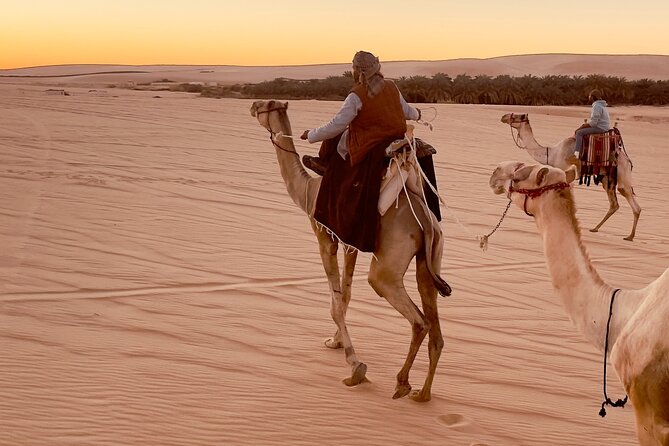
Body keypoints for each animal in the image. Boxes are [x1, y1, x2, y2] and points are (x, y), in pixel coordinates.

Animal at [250, 100, 451, 402]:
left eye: (265, 105)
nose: (252, 106)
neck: (308, 189)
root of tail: (425, 222)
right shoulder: (351, 244)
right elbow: (345, 295)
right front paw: (335, 342)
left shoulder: (325, 238)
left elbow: (335, 303)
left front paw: (356, 367)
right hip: (430, 259)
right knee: (434, 325)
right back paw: (422, 394)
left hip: (387, 269)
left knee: (418, 320)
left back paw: (402, 383)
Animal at [501, 113, 641, 241]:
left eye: (518, 116)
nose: (504, 117)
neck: (551, 153)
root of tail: (628, 160)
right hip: (607, 178)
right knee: (614, 204)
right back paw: (596, 229)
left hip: (622, 173)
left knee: (629, 198)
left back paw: (630, 236)